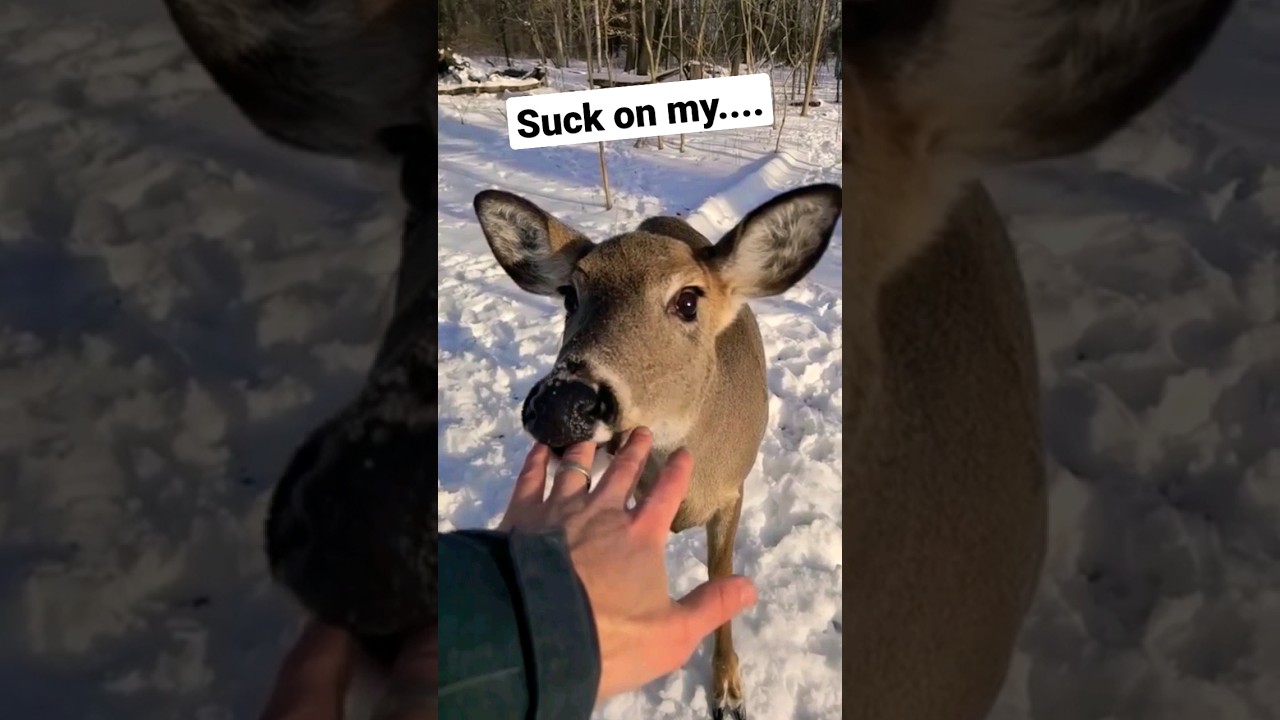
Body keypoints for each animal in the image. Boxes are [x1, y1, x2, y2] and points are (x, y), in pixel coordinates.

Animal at [472, 184, 843, 719]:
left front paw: (728, 692)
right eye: (570, 295)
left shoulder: (732, 493)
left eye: (688, 300)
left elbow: (718, 573)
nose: (559, 404)